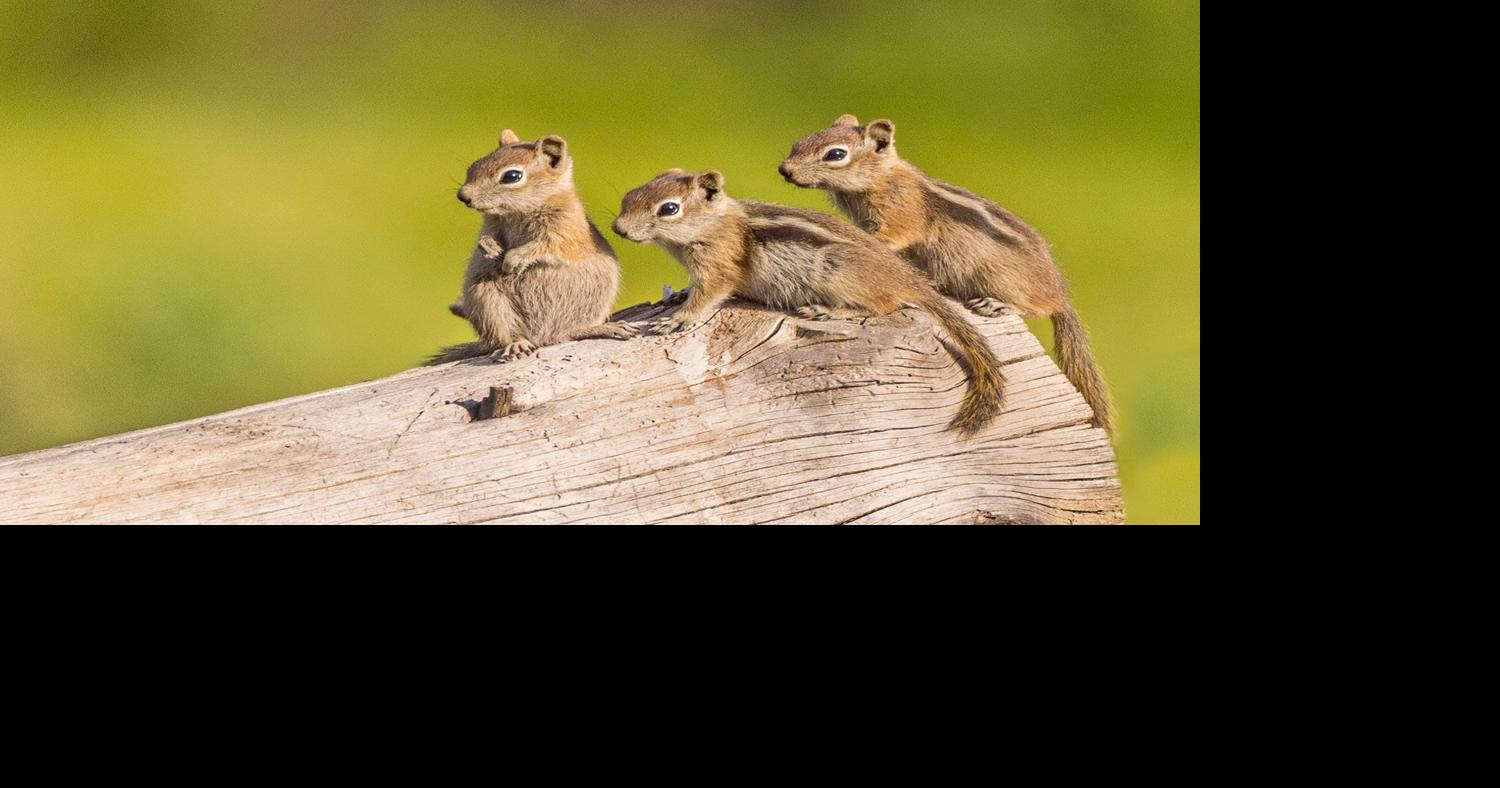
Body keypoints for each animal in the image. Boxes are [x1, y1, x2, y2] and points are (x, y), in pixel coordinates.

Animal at [429, 129, 636, 365]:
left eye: (512, 176)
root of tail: (539, 337)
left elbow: (546, 246)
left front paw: (513, 258)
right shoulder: (491, 224)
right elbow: (485, 238)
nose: (463, 196)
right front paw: (490, 248)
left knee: (567, 333)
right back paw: (516, 344)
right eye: (473, 166)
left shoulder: (565, 231)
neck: (518, 212)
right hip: (487, 299)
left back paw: (601, 329)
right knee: (506, 336)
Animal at [611, 168, 1004, 435]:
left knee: (884, 305)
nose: (618, 229)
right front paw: (677, 295)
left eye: (669, 209)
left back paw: (826, 309)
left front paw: (679, 318)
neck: (713, 224)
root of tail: (911, 280)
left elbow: (709, 294)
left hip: (841, 273)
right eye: (629, 195)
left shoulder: (720, 266)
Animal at [779, 114, 1114, 435]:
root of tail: (1061, 293)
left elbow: (889, 237)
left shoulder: (900, 216)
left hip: (1001, 279)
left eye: (835, 154)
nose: (785, 170)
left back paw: (996, 304)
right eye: (799, 142)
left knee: (1037, 307)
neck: (882, 177)